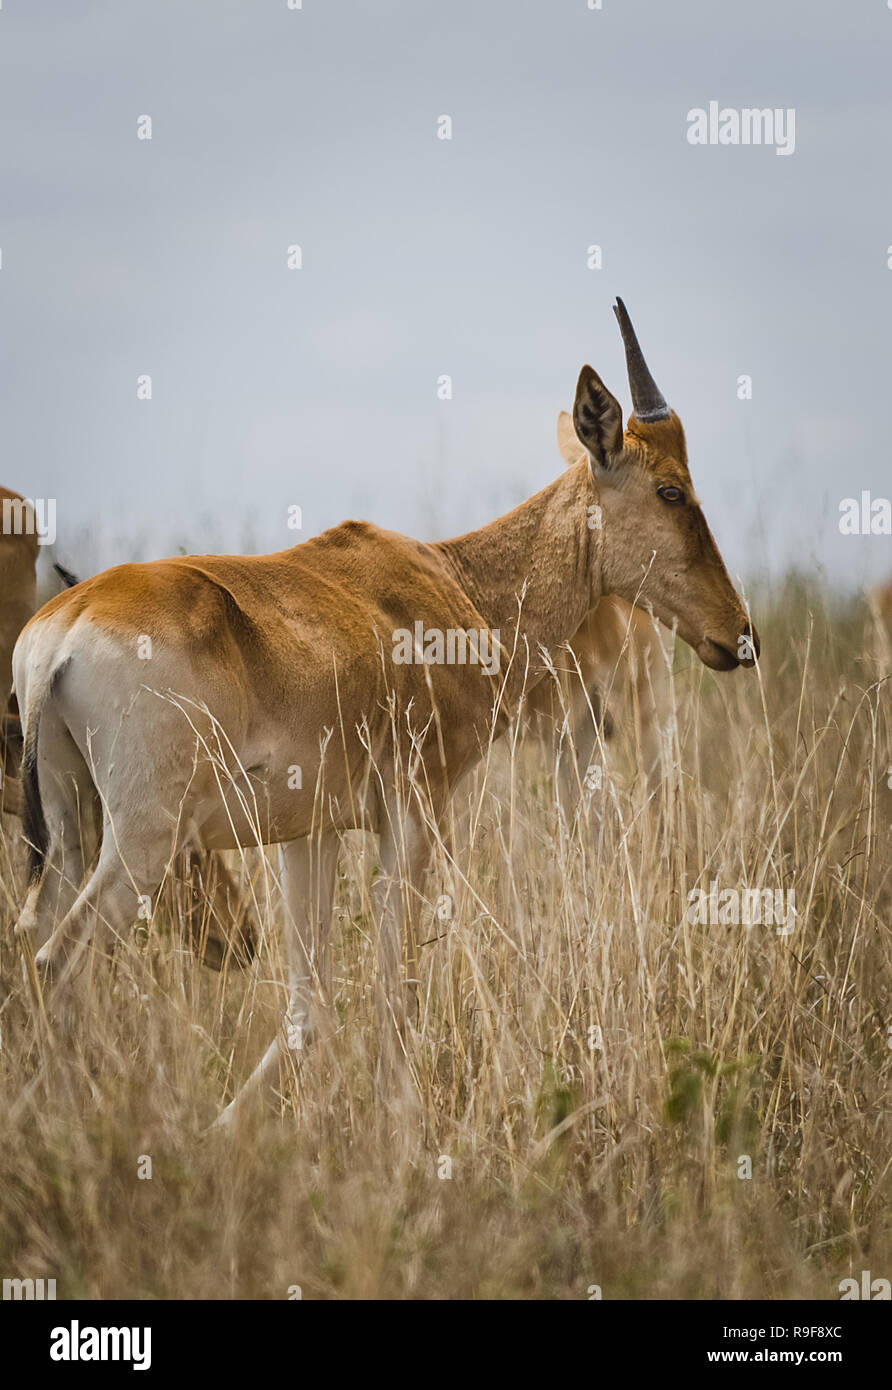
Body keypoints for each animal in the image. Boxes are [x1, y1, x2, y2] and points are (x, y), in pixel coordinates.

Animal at [11, 299, 759, 1123]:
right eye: (670, 489)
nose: (739, 635)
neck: (451, 580)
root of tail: (62, 628)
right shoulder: (413, 812)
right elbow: (394, 990)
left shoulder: (309, 834)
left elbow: (309, 1004)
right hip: (144, 840)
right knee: (58, 960)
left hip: (73, 826)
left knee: (32, 939)